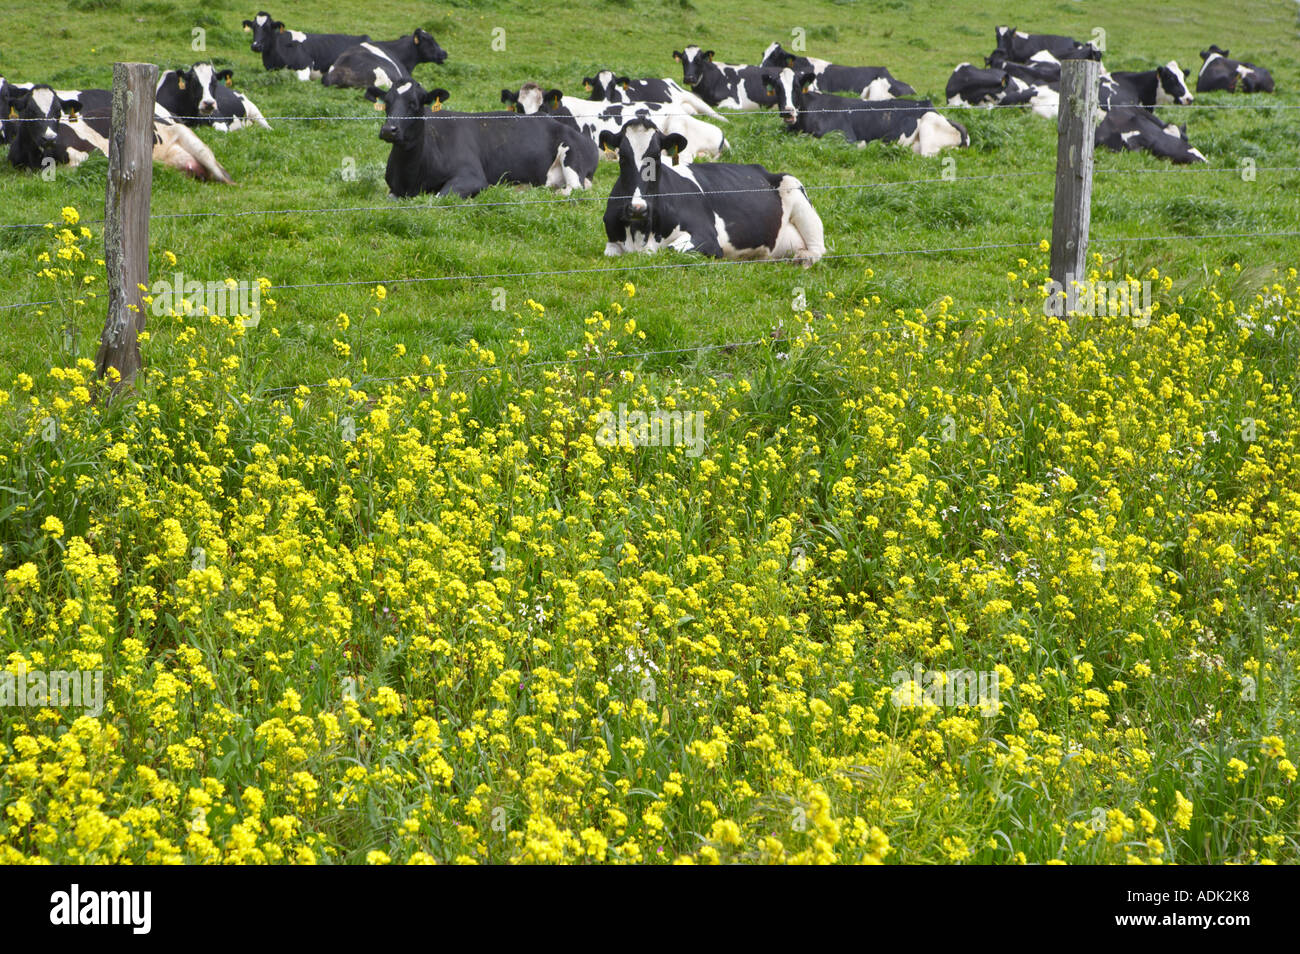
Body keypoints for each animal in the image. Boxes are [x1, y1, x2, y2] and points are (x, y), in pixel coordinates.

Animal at [5, 84, 233, 181]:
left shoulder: (94, 155)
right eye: (30, 111)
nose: (50, 138)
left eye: (57, 112)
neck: (35, 157)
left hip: (194, 143)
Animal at [368, 81, 598, 198]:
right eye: (387, 102)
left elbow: (440, 197)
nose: (389, 130)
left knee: (572, 189)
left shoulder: (472, 177)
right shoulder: (394, 188)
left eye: (414, 104)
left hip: (571, 157)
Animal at [599, 119, 824, 264]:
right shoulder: (611, 242)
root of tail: (761, 169)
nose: (638, 208)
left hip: (795, 191)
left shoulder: (707, 236)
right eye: (622, 157)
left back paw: (802, 259)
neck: (639, 234)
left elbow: (670, 250)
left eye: (656, 156)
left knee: (819, 249)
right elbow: (610, 252)